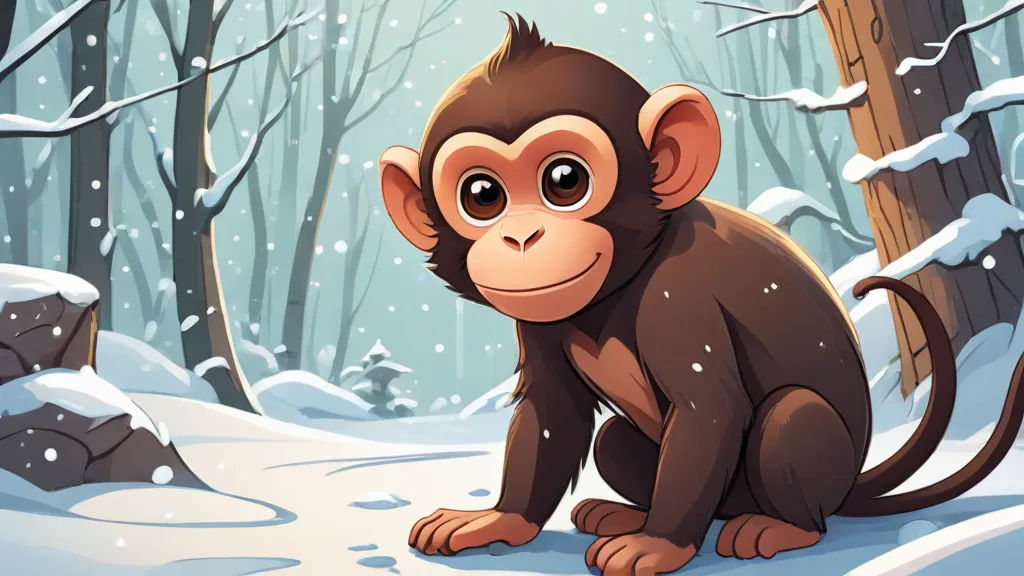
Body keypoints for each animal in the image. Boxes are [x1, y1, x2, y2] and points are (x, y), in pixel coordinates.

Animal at [378, 15, 1024, 576]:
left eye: (565, 181)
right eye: (482, 195)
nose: (520, 237)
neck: (620, 285)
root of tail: (848, 487)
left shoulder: (678, 297)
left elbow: (706, 410)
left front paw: (659, 547)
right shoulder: (537, 321)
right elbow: (552, 413)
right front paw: (498, 521)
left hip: (811, 472)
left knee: (792, 417)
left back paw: (781, 527)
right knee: (614, 440)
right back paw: (625, 514)